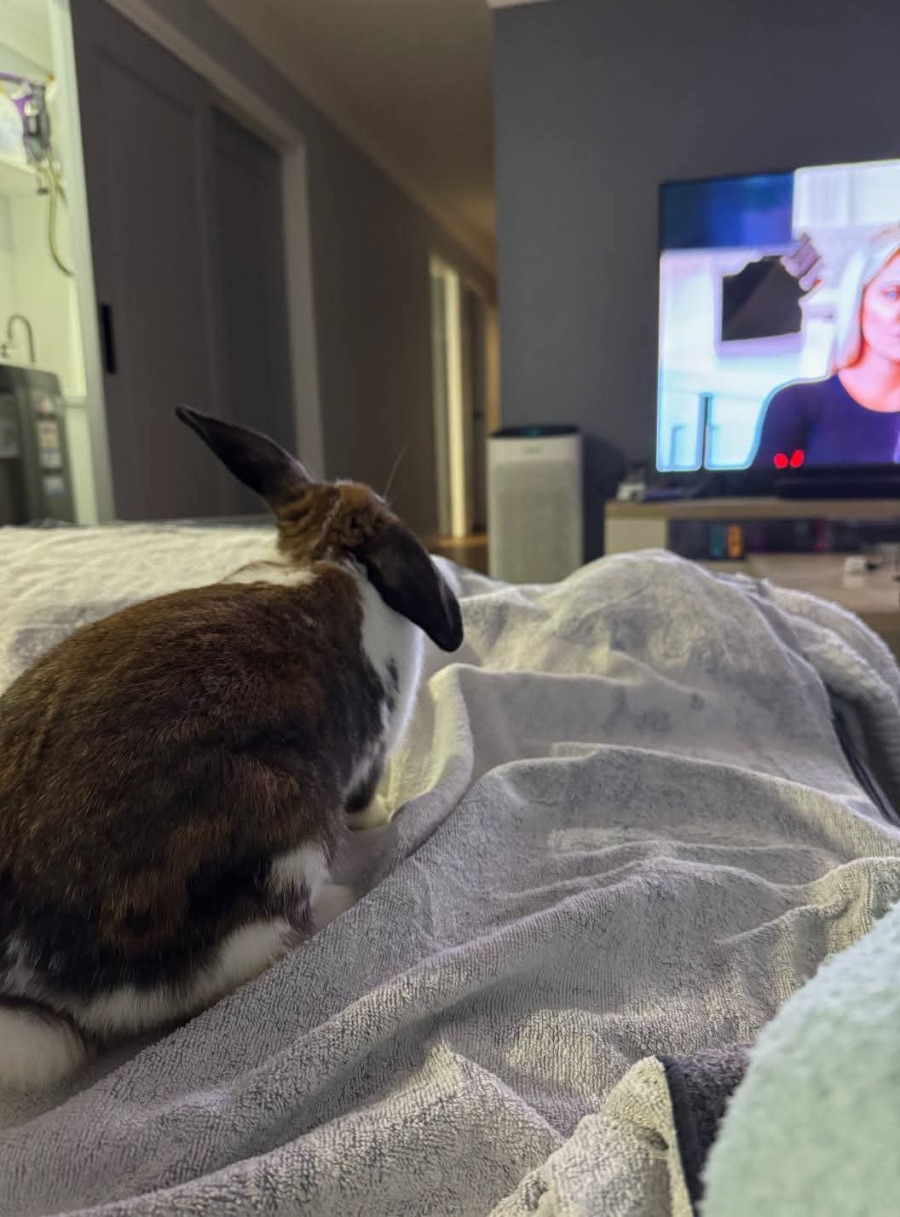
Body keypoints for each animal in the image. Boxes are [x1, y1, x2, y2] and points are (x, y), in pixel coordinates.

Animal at [0, 407, 463, 1092]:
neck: (324, 553)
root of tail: (36, 974)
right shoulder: (370, 760)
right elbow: (367, 796)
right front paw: (382, 817)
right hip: (286, 830)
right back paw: (341, 901)